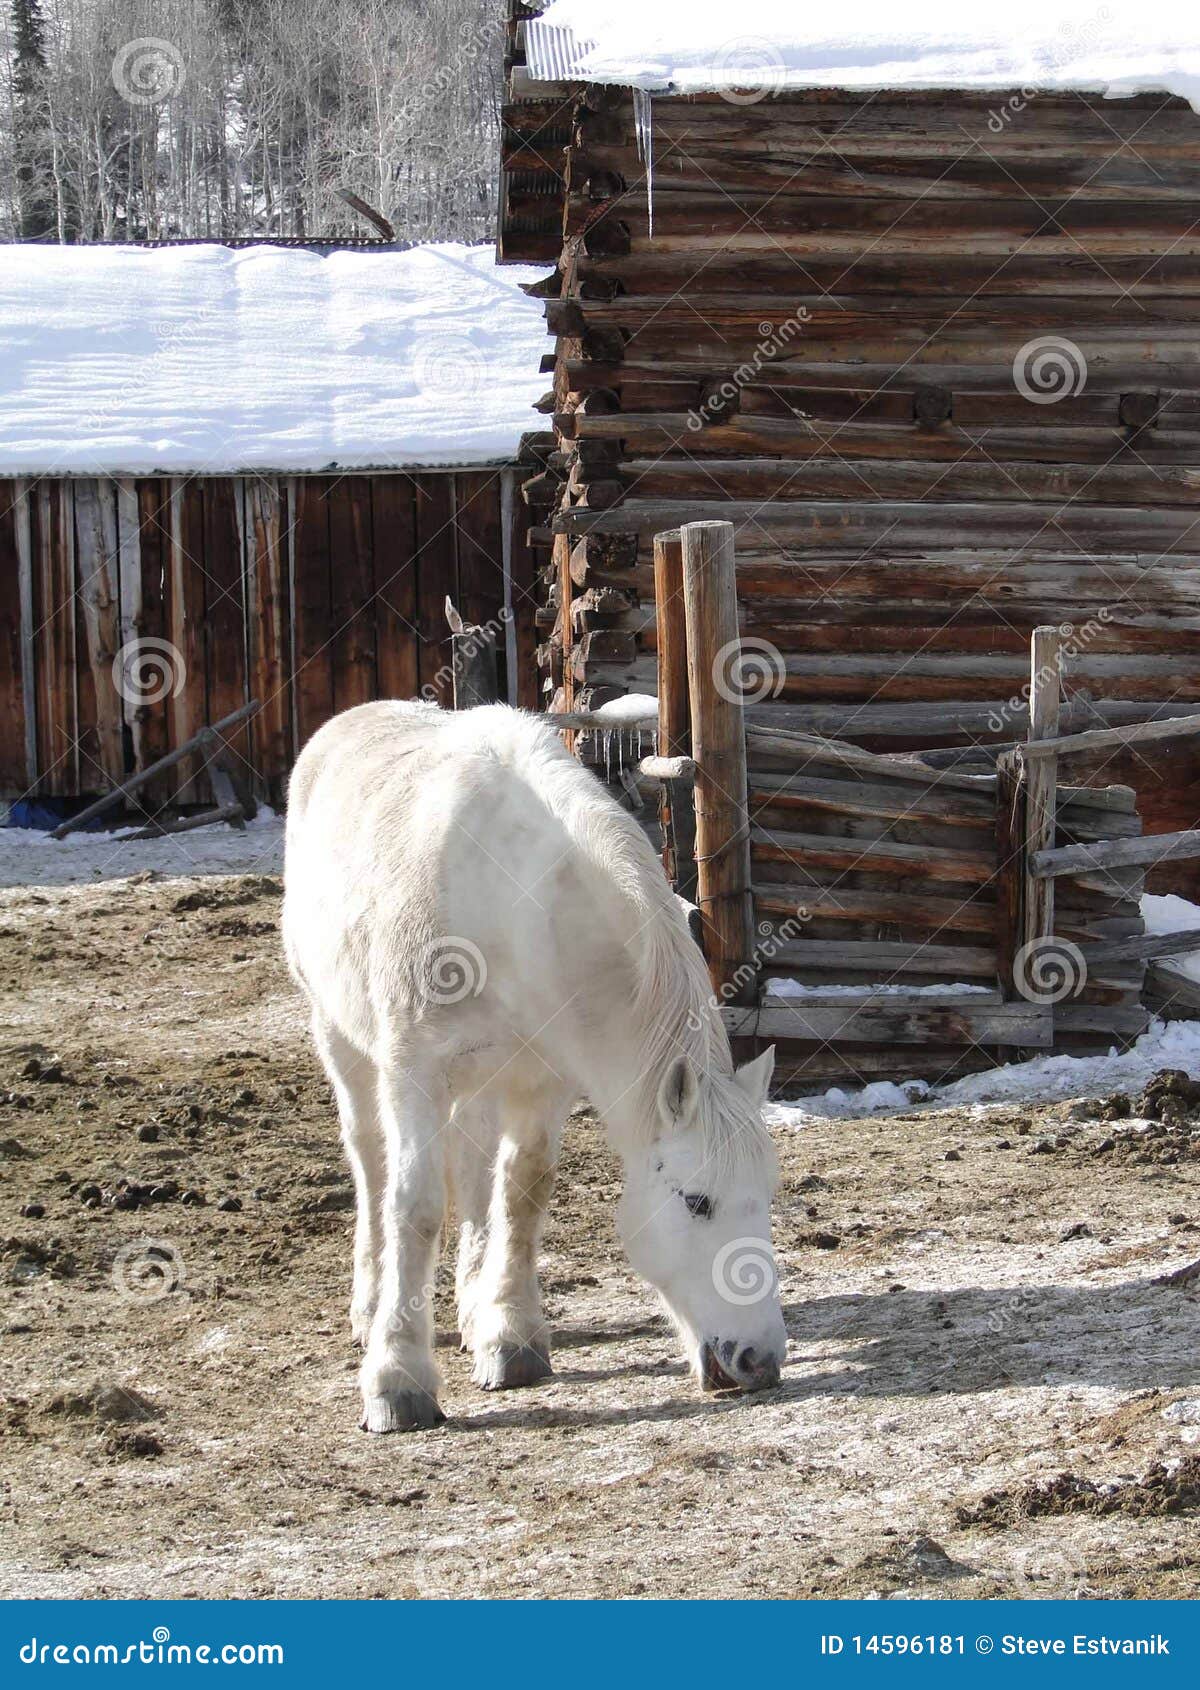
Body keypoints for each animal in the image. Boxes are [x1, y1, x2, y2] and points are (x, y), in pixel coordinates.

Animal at [282, 699, 786, 1433]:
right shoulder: (414, 1073)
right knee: (372, 1166)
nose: (761, 1360)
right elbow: (415, 1208)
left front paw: (510, 1337)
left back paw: (471, 1306)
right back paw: (369, 1305)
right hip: (342, 1040)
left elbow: (522, 1192)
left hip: (481, 1082)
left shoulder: (542, 1080)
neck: (515, 904)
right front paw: (398, 1379)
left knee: (472, 1171)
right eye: (697, 1201)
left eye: (766, 1195)